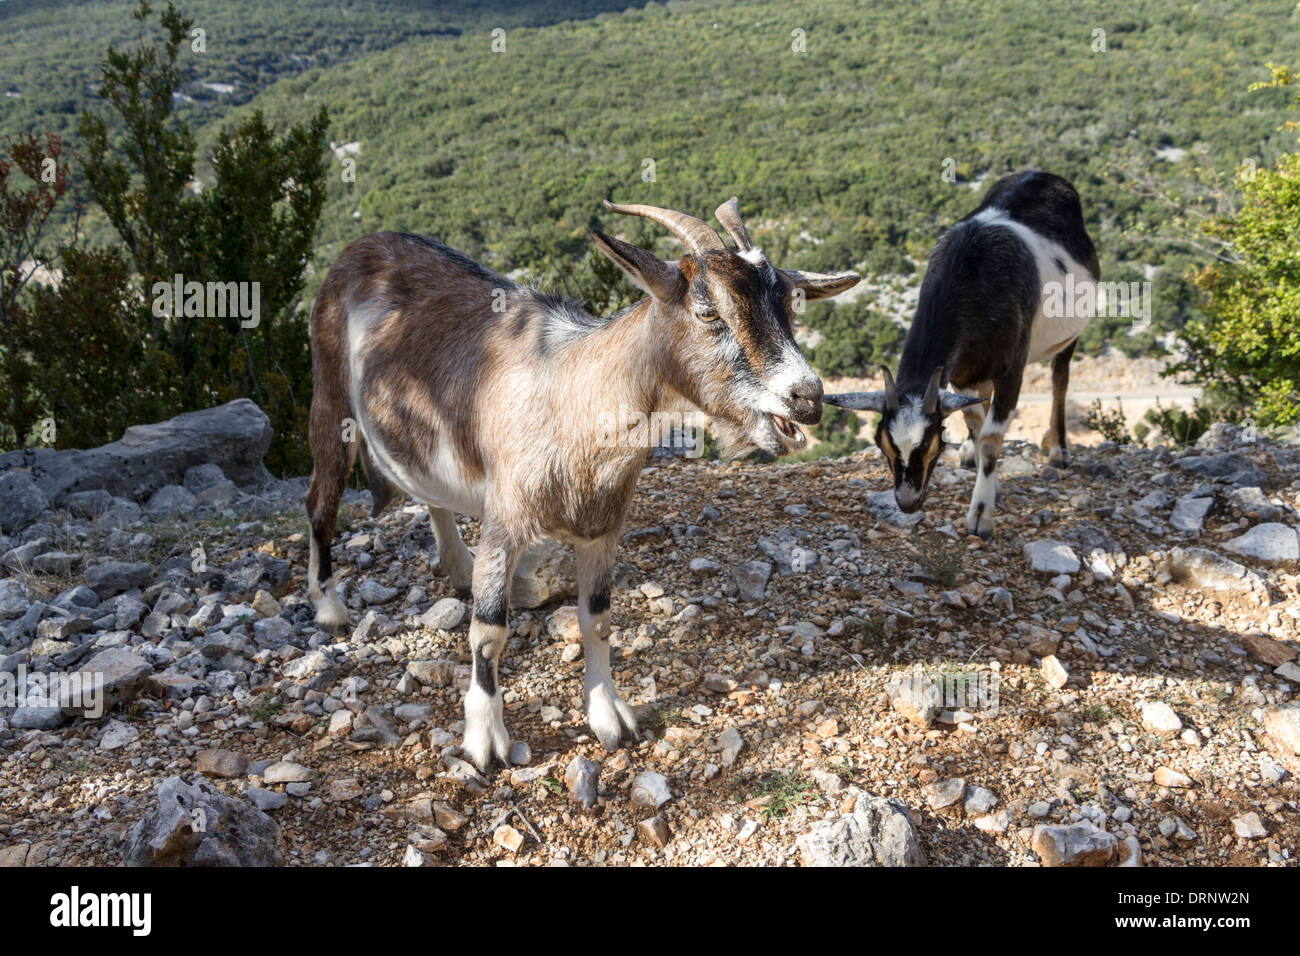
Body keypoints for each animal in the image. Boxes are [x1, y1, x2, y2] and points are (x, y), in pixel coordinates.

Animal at [305, 199, 860, 769]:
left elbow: (597, 619)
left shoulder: (602, 526)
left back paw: (457, 567)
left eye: (789, 307)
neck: (571, 394)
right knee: (319, 501)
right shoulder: (505, 521)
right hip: (330, 395)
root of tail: (364, 244)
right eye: (709, 312)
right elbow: (488, 631)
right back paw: (329, 607)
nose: (807, 397)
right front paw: (486, 738)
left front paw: (609, 714)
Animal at [824, 170, 1100, 538]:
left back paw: (1058, 449)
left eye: (932, 442)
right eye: (881, 443)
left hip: (1070, 336)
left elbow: (991, 437)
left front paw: (981, 512)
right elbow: (975, 421)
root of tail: (1042, 174)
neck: (972, 276)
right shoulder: (963, 374)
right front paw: (989, 480)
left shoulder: (1012, 368)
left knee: (1060, 380)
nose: (907, 502)